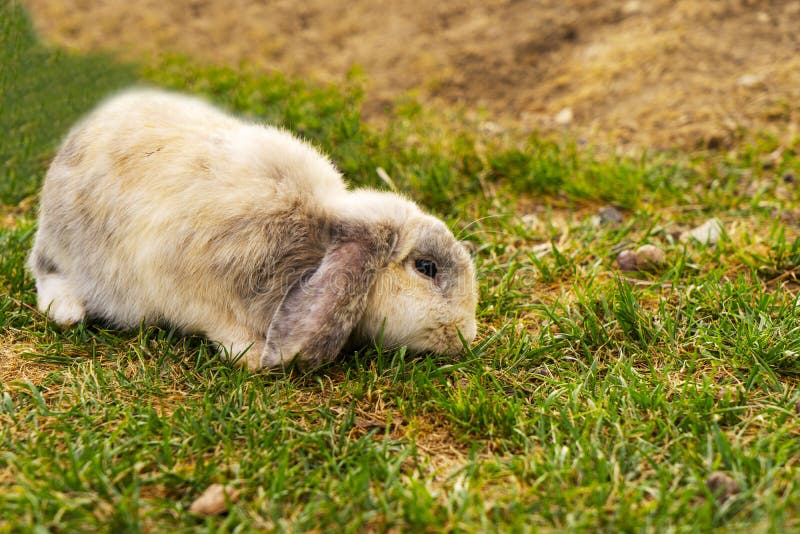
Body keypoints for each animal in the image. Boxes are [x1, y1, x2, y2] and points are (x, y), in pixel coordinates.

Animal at [27, 88, 478, 370]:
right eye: (426, 268)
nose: (466, 336)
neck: (316, 245)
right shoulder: (202, 296)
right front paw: (254, 356)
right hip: (71, 252)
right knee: (46, 274)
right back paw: (68, 312)